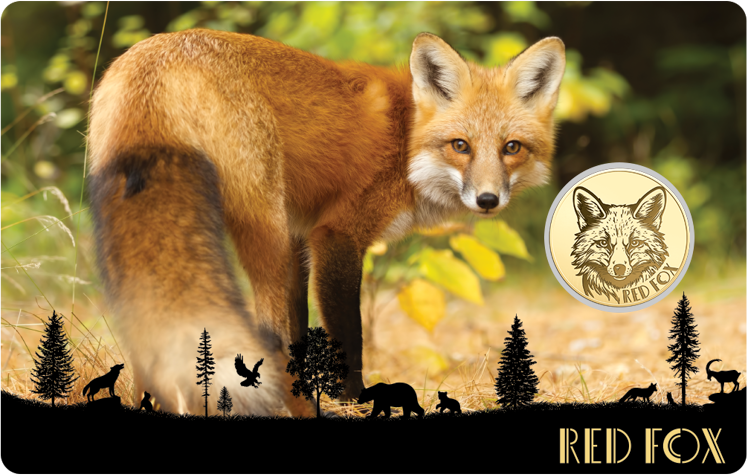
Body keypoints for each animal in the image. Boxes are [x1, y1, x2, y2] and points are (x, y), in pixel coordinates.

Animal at [88, 29, 565, 416]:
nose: (488, 199)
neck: (405, 141)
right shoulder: (335, 236)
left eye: (512, 148)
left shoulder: (301, 237)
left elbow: (302, 335)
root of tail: (156, 58)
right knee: (269, 339)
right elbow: (348, 340)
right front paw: (353, 400)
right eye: (460, 145)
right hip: (266, 232)